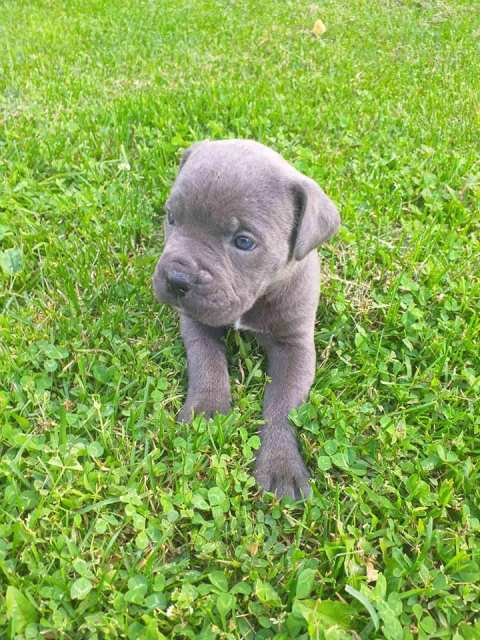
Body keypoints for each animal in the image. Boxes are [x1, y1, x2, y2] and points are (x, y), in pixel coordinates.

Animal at [152, 140, 340, 500]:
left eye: (244, 242)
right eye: (171, 218)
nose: (176, 279)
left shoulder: (295, 346)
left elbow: (284, 404)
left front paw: (281, 464)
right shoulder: (196, 320)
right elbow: (207, 362)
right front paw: (206, 411)